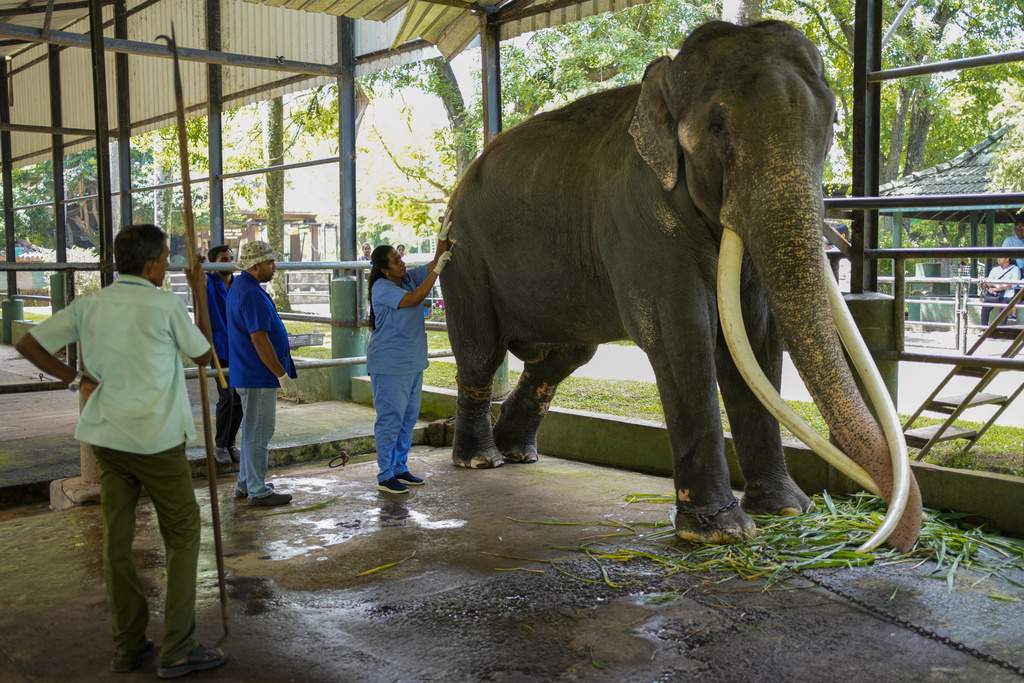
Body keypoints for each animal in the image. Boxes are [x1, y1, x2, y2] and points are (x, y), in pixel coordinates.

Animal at [439, 20, 923, 552]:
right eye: (717, 127)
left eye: (834, 122)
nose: (890, 539)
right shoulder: (640, 214)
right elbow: (682, 333)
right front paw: (720, 533)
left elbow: (755, 336)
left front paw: (787, 509)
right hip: (463, 257)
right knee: (481, 352)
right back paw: (481, 461)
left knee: (564, 356)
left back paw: (517, 452)